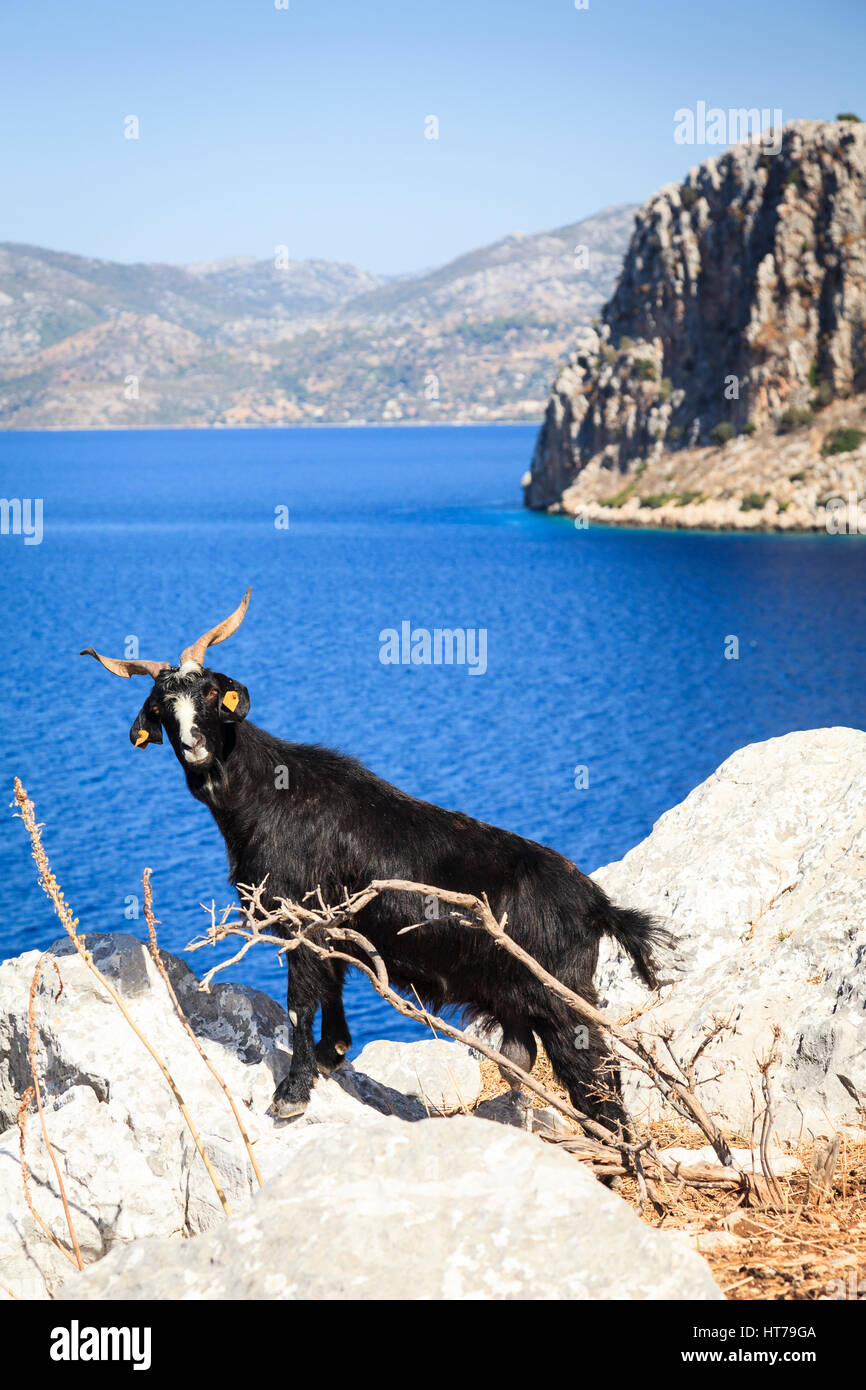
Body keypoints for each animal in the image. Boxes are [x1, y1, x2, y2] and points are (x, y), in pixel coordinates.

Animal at [82, 590, 666, 1131]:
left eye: (207, 692)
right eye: (160, 708)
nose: (195, 744)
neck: (264, 795)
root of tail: (598, 905)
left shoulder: (300, 917)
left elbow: (301, 1000)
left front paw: (292, 1093)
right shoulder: (333, 924)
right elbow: (334, 982)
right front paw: (330, 1054)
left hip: (563, 1000)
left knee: (600, 1078)